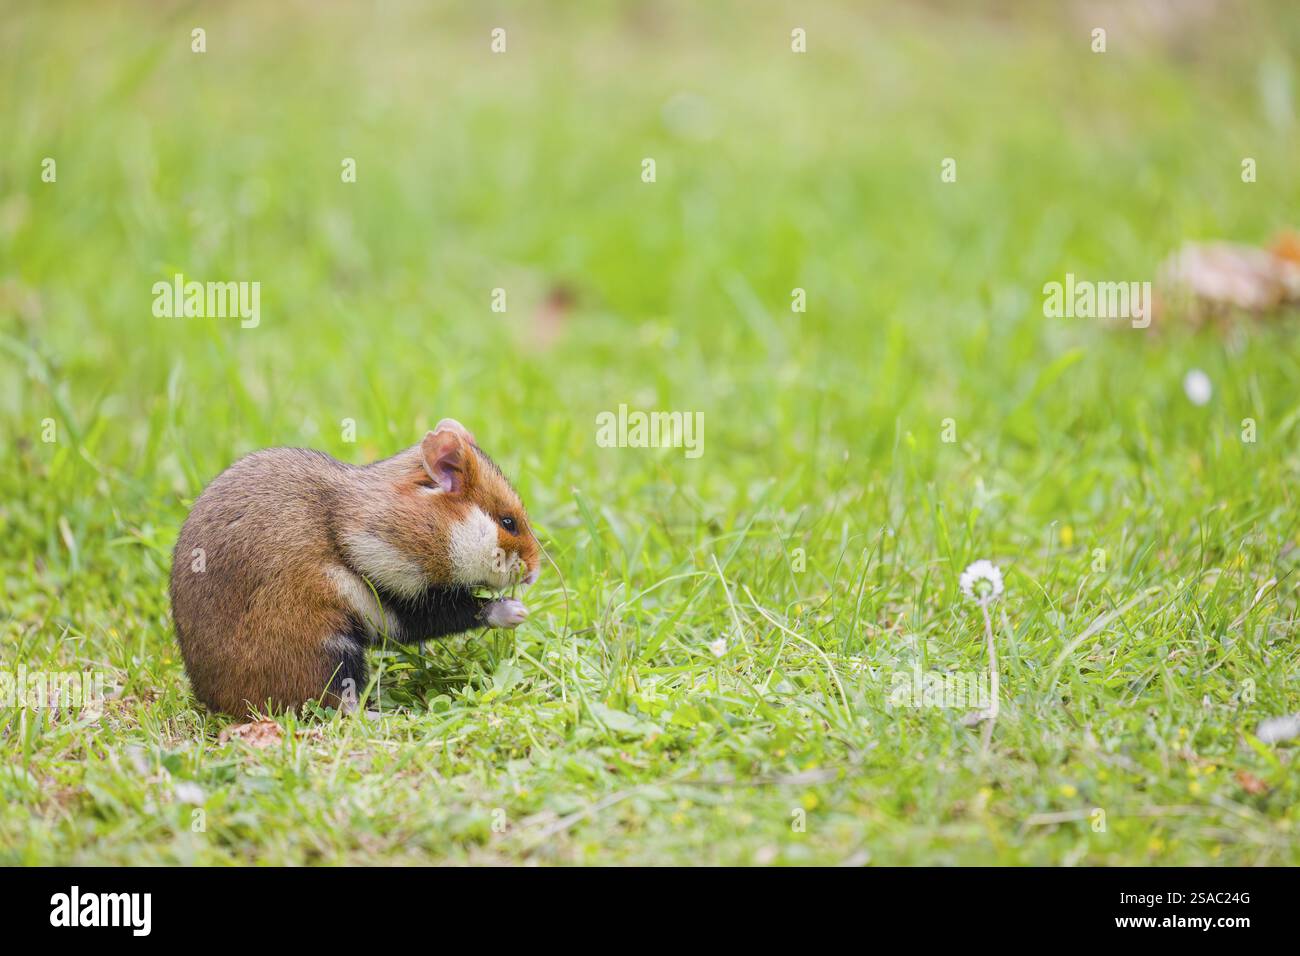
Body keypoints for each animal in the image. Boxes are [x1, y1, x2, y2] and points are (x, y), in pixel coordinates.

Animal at [169, 419, 541, 715]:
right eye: (508, 523)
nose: (535, 574)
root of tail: (217, 704)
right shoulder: (385, 579)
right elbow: (452, 613)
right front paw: (515, 611)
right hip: (327, 650)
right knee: (338, 708)